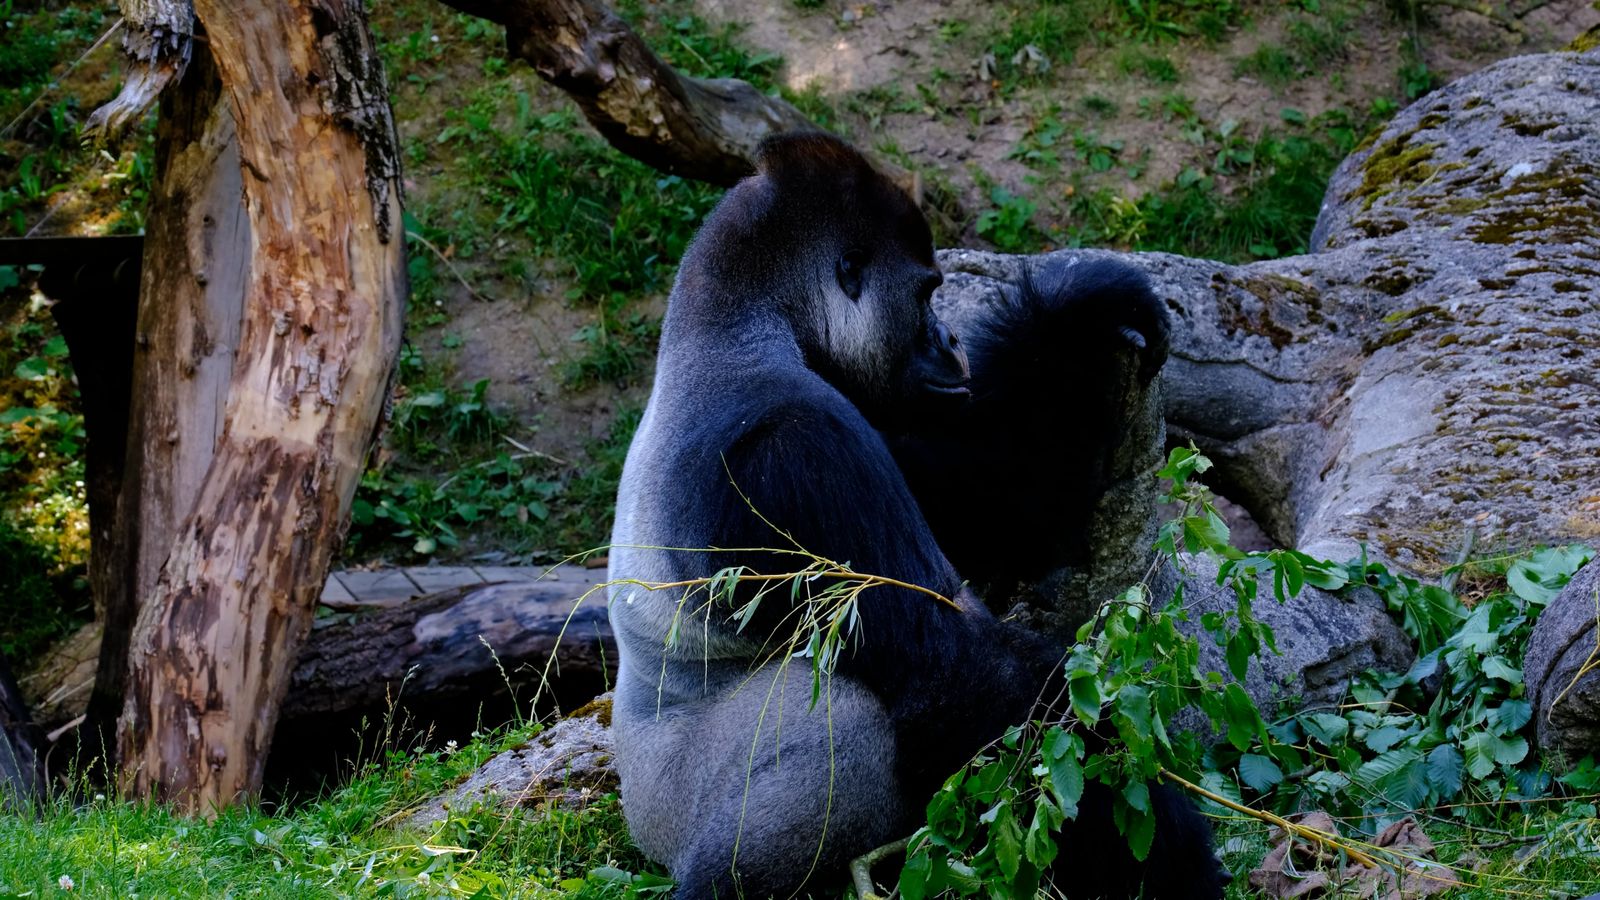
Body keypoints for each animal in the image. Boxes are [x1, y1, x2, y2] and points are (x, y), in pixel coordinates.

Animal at [606, 132, 1223, 899]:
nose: (951, 340)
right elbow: (954, 672)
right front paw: (1166, 851)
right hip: (669, 810)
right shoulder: (795, 452)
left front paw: (1078, 313)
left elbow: (1010, 499)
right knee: (845, 720)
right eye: (926, 294)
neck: (736, 329)